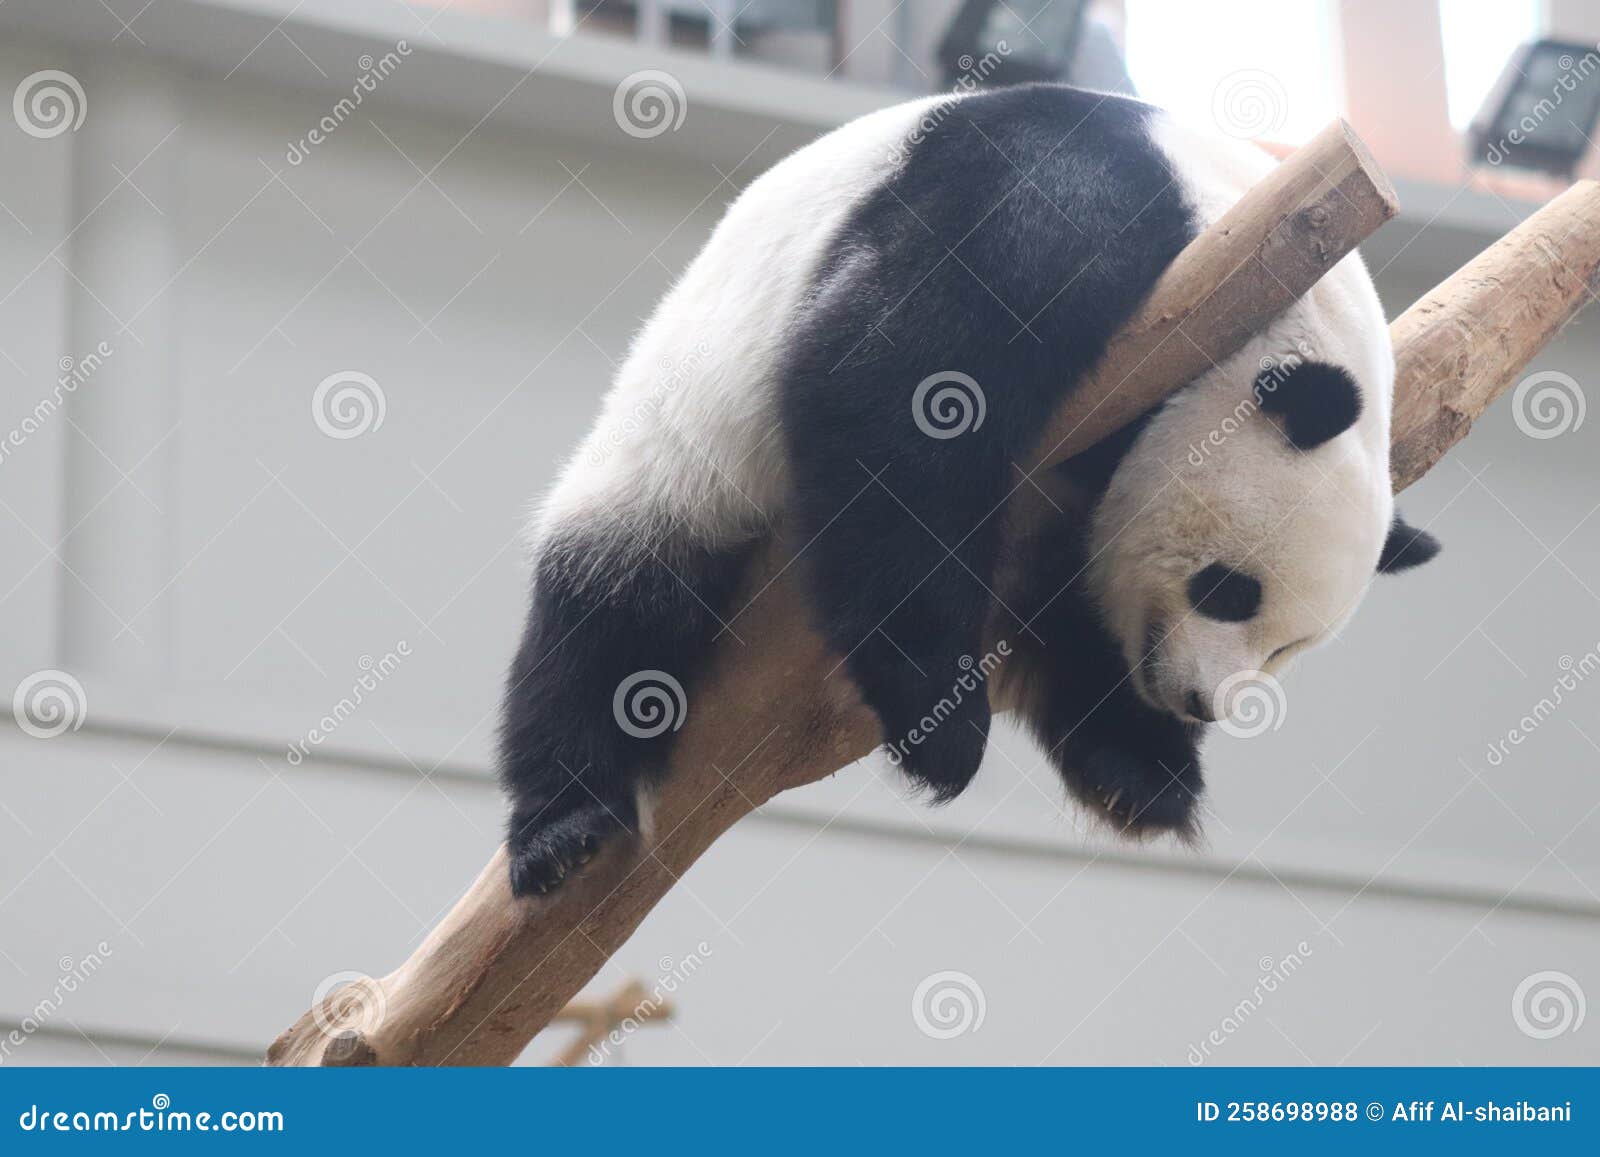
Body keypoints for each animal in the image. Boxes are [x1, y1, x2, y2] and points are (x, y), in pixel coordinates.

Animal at [498, 83, 1440, 895]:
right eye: (1229, 590)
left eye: (1287, 650)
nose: (1199, 701)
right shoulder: (1079, 200)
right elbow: (901, 385)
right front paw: (941, 726)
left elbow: (1083, 604)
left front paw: (1140, 758)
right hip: (678, 452)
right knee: (611, 612)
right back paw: (562, 823)